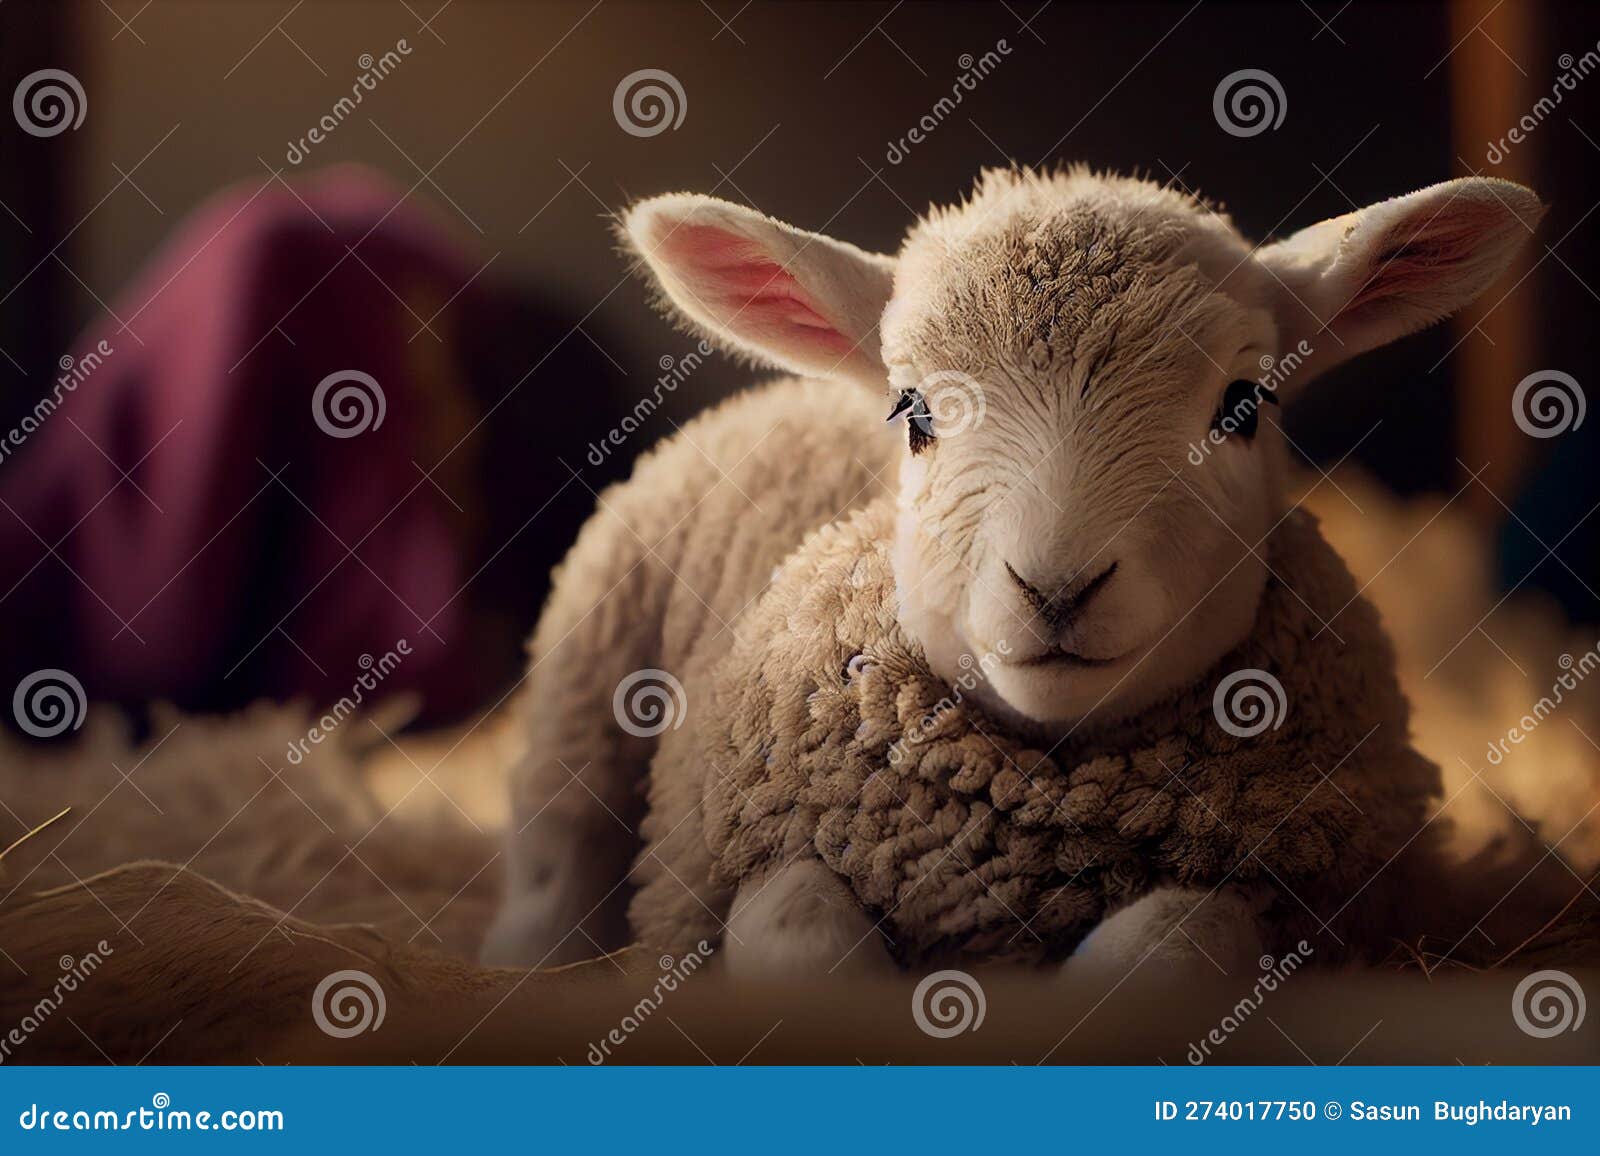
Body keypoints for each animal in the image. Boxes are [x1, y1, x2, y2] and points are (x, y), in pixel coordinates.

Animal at [482, 167, 1543, 978]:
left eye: (1243, 407)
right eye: (914, 411)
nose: (1057, 590)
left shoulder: (1298, 895)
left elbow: (1173, 943)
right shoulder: (751, 848)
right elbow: (797, 936)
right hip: (589, 665)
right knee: (553, 848)